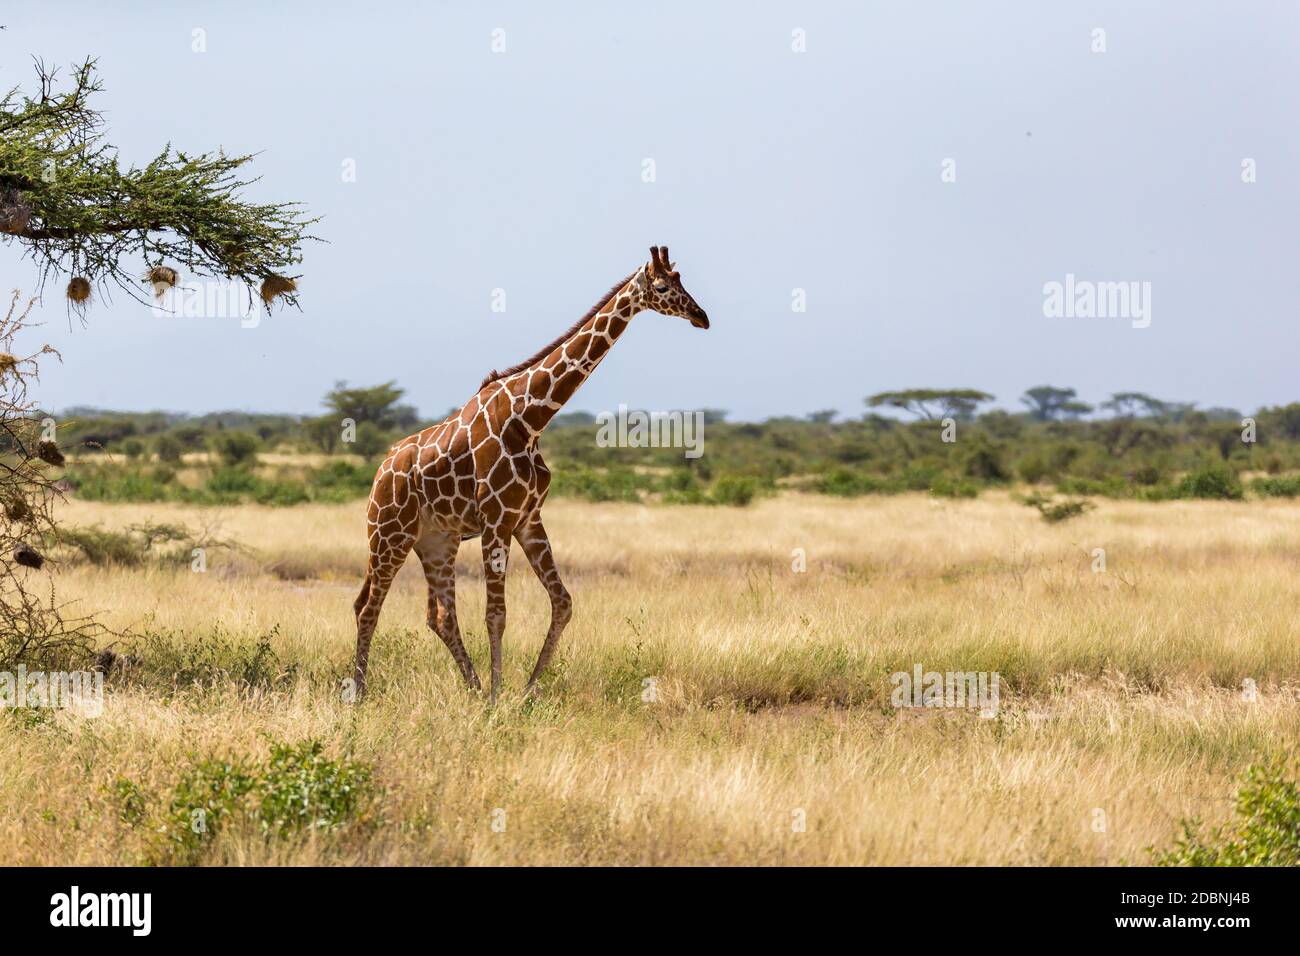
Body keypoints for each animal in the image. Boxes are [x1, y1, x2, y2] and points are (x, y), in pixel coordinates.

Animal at [352, 246, 709, 701]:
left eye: (682, 280)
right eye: (663, 287)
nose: (701, 316)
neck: (531, 418)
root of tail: (381, 470)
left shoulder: (527, 518)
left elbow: (563, 602)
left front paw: (525, 691)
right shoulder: (496, 520)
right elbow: (496, 614)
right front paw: (497, 697)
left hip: (435, 541)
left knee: (439, 615)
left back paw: (470, 687)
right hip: (388, 535)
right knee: (367, 605)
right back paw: (358, 693)